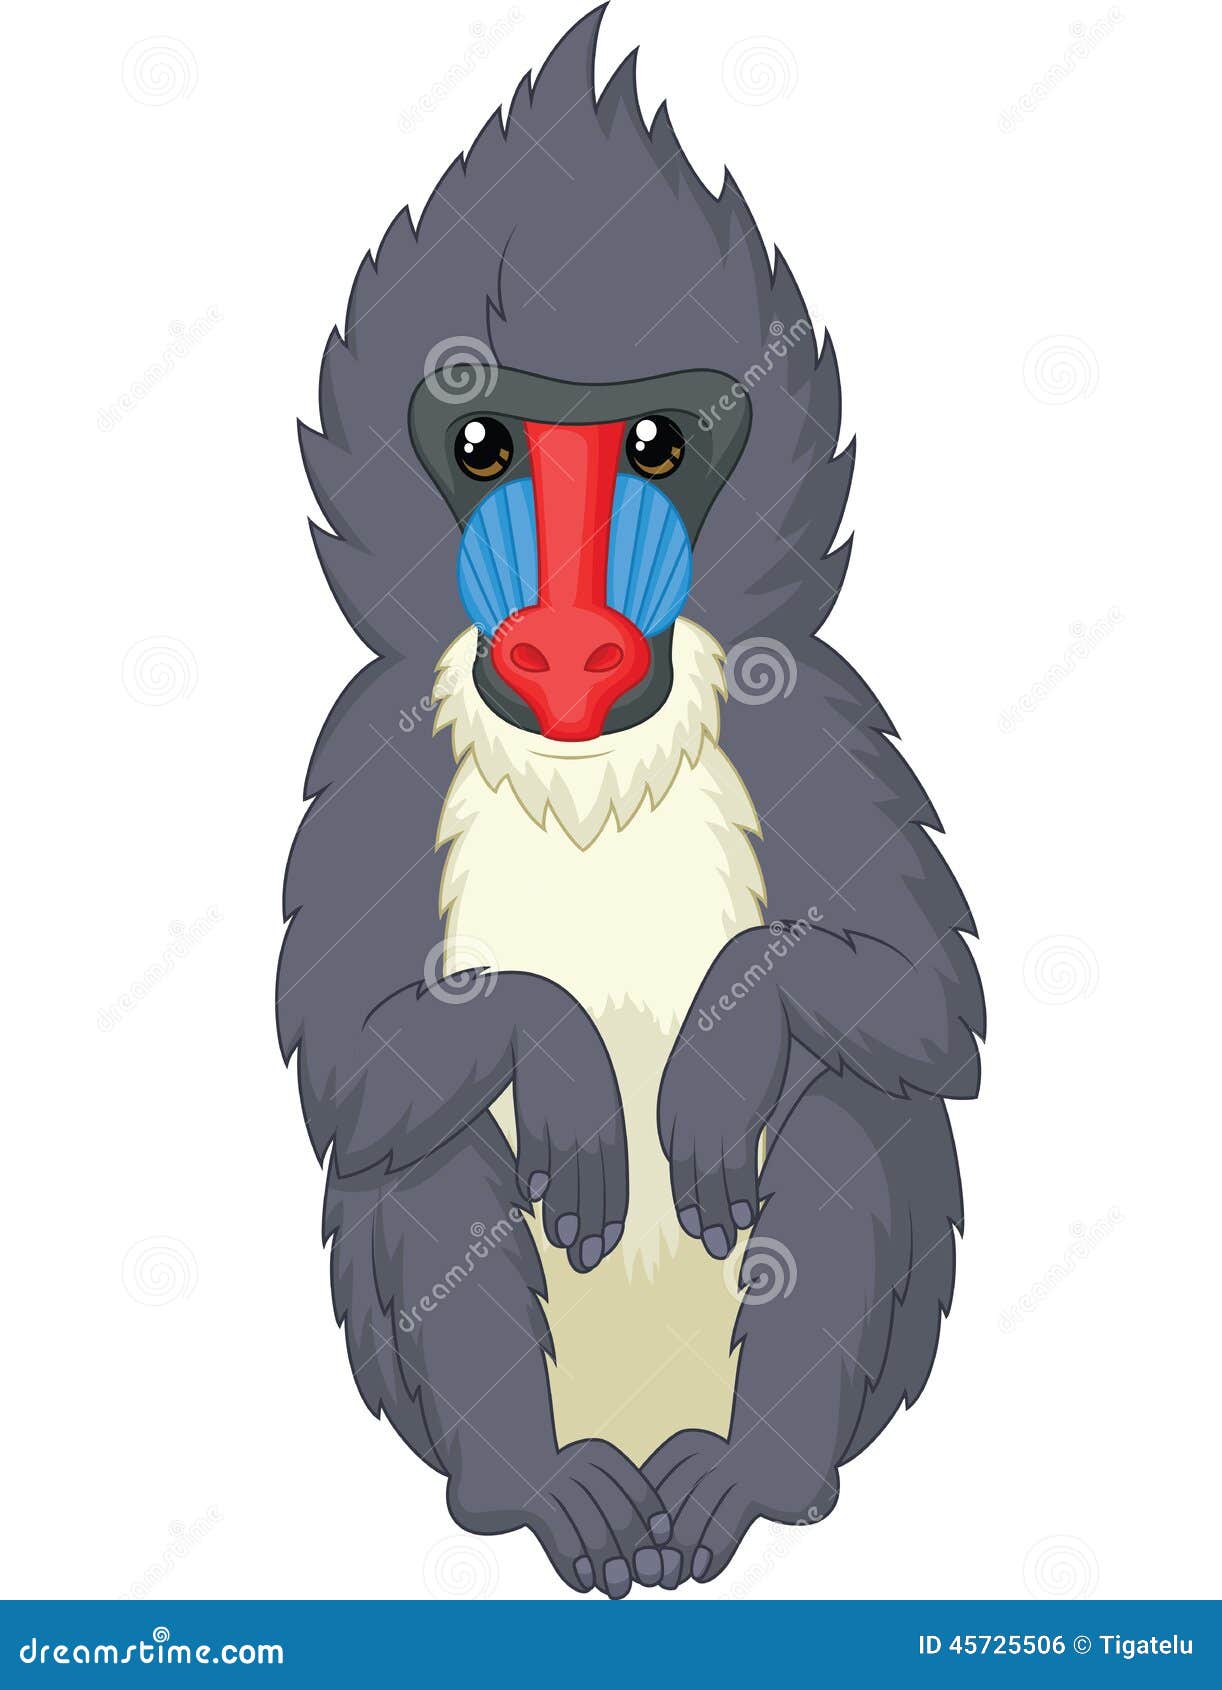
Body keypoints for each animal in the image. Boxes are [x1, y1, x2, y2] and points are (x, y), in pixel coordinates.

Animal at [277, 8, 984, 1599]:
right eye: (484, 449)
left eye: (653, 447)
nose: (566, 642)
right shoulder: (369, 756)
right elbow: (347, 1065)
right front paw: (555, 1045)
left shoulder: (814, 718)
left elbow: (929, 1009)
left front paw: (725, 1039)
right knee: (426, 1145)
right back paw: (539, 1489)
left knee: (856, 1097)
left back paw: (756, 1476)